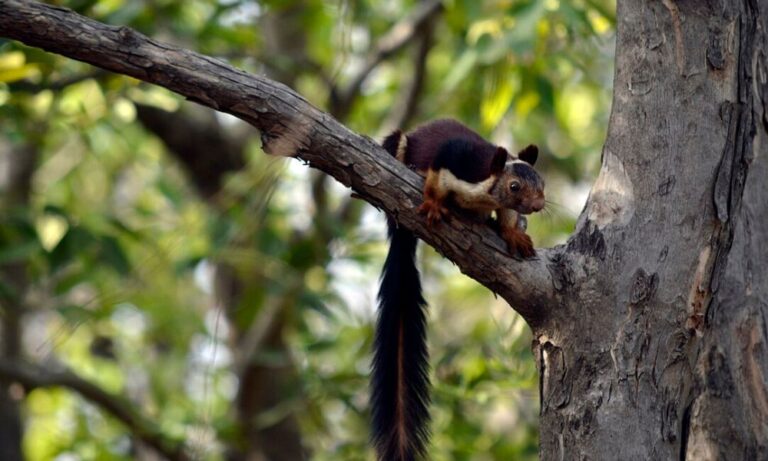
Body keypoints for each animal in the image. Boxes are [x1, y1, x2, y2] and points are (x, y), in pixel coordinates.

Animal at [371, 119, 545, 461]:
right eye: (514, 186)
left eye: (541, 182)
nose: (538, 205)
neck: (485, 193)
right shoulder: (454, 159)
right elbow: (436, 182)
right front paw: (433, 203)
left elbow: (507, 218)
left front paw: (511, 233)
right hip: (398, 145)